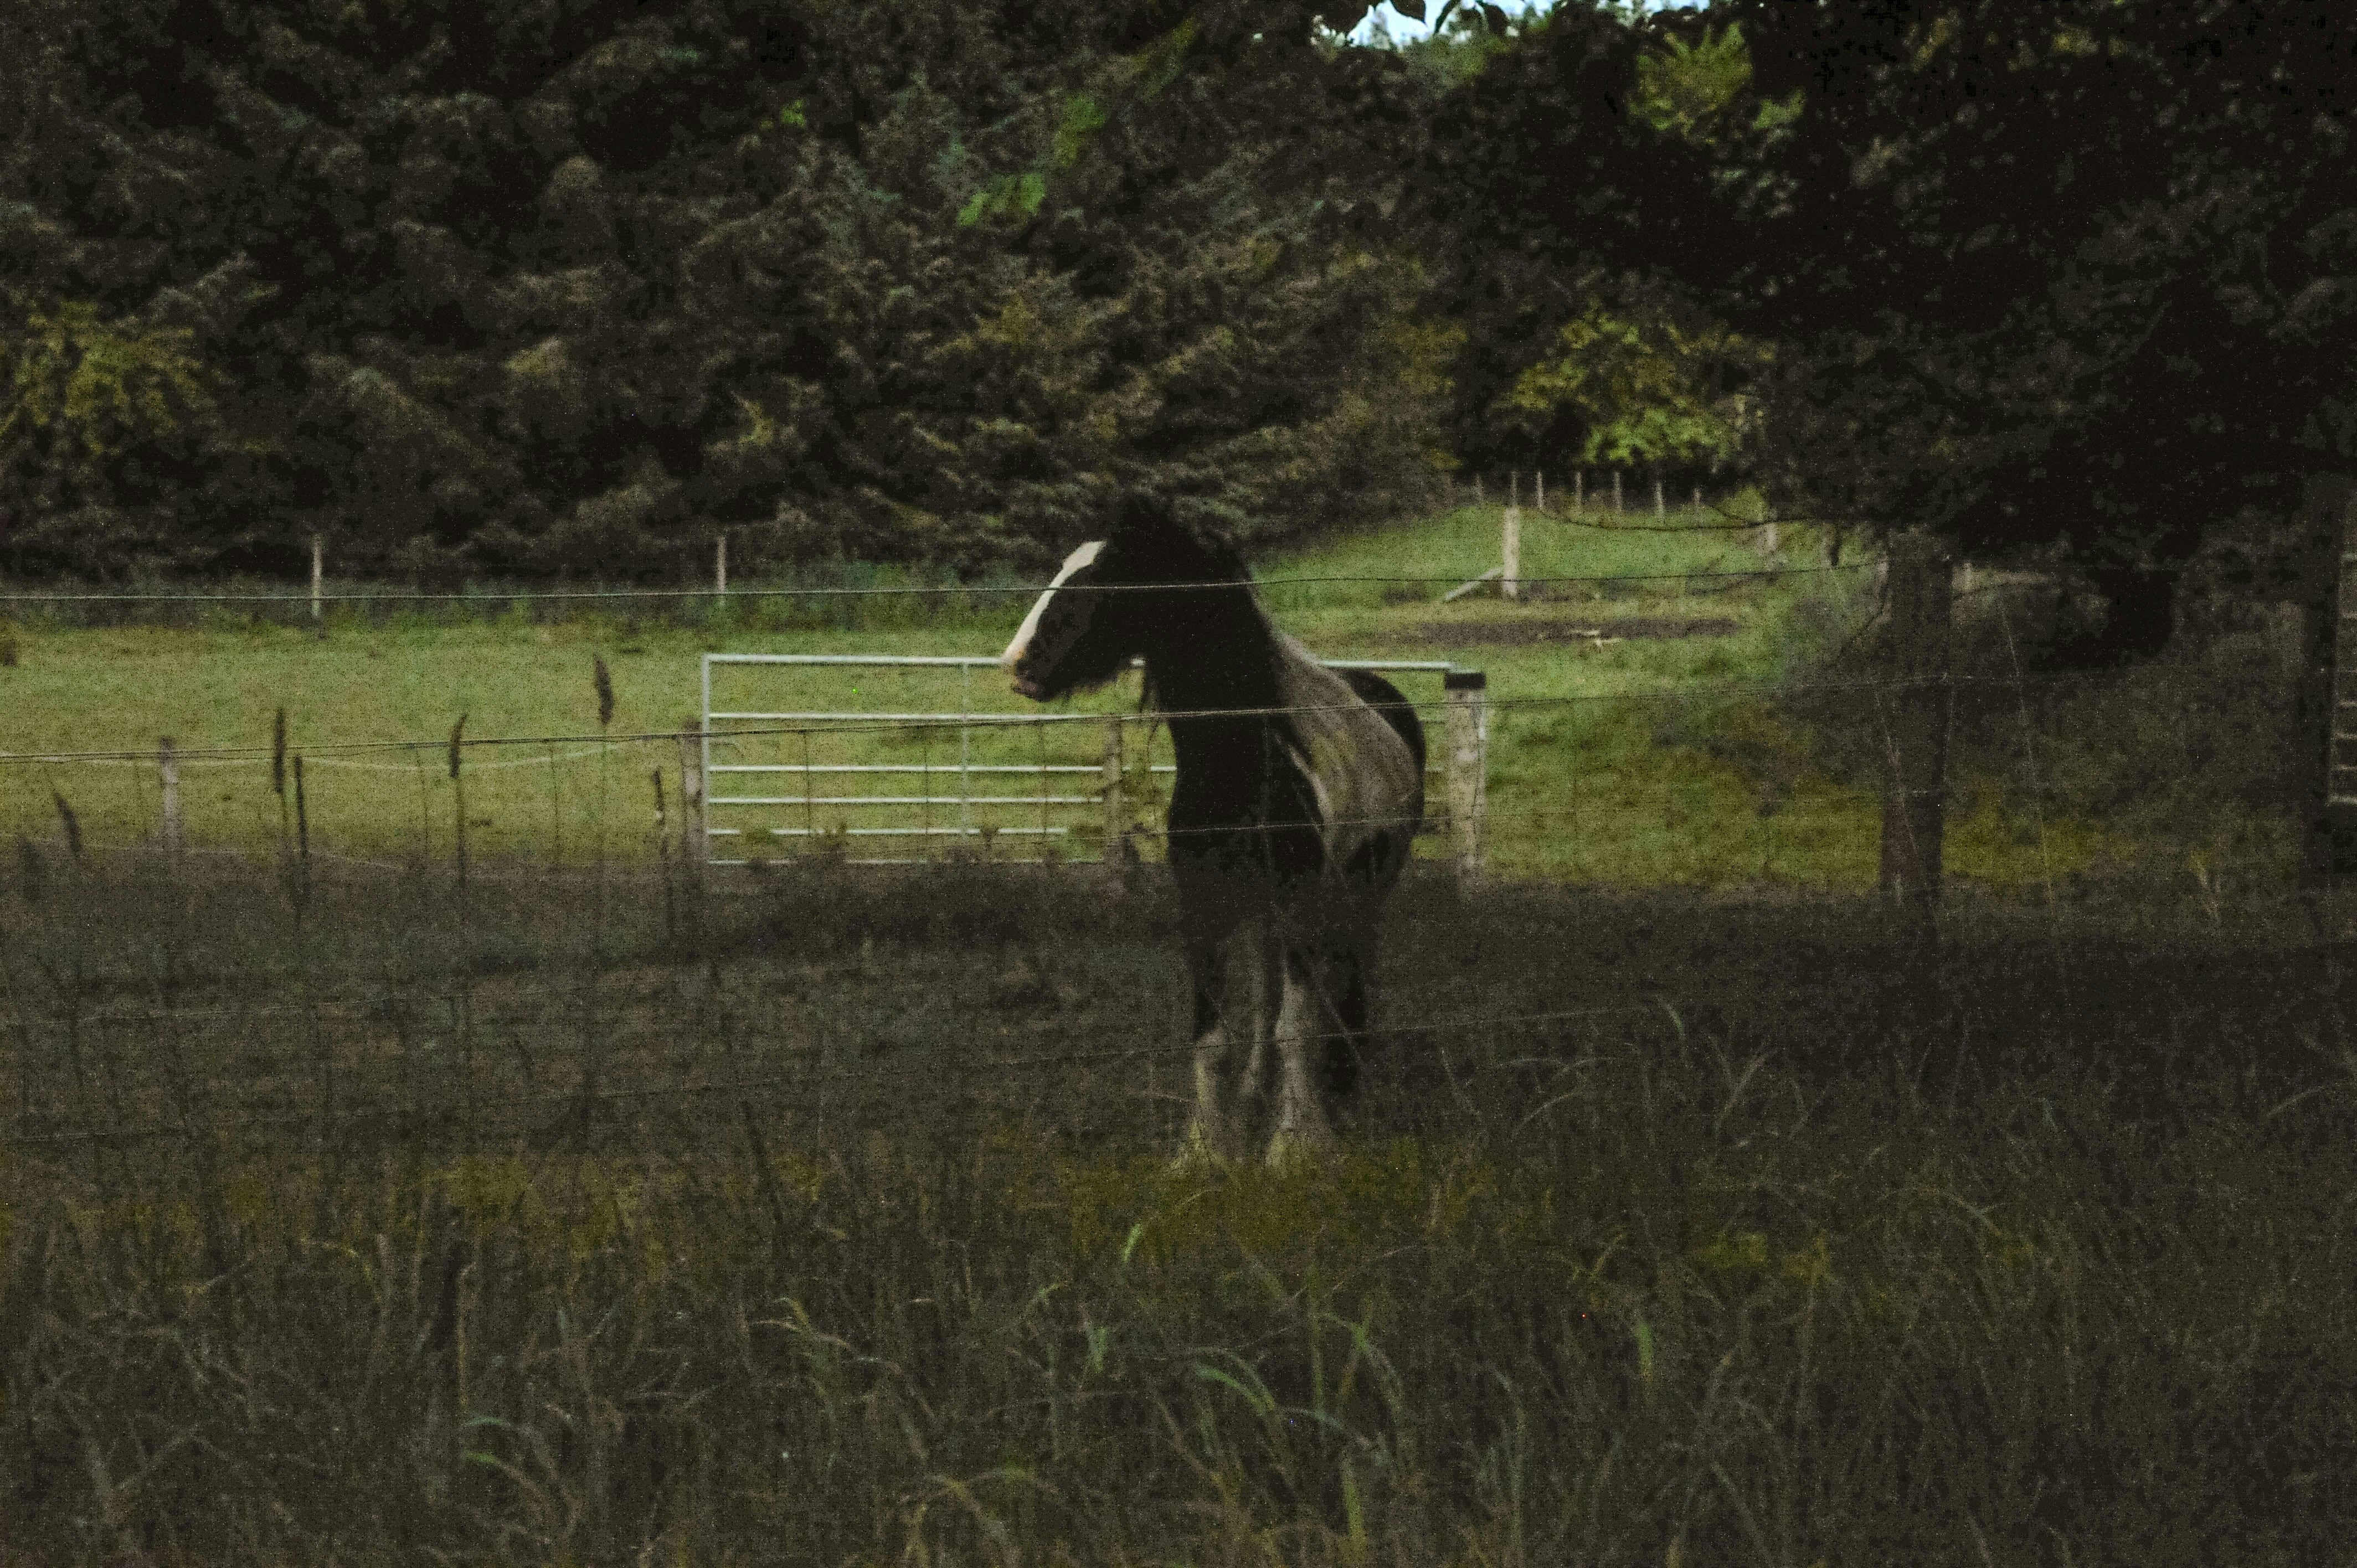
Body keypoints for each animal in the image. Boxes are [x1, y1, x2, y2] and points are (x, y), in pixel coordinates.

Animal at [1000, 498, 1425, 1164]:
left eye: (1101, 581)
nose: (1015, 666)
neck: (1242, 762)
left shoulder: (1300, 901)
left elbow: (1297, 1027)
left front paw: (1293, 1147)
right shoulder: (1203, 904)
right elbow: (1214, 1034)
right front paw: (1207, 1148)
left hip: (1360, 896)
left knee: (1347, 992)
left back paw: (1343, 1094)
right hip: (1264, 915)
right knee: (1269, 994)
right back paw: (1259, 1096)